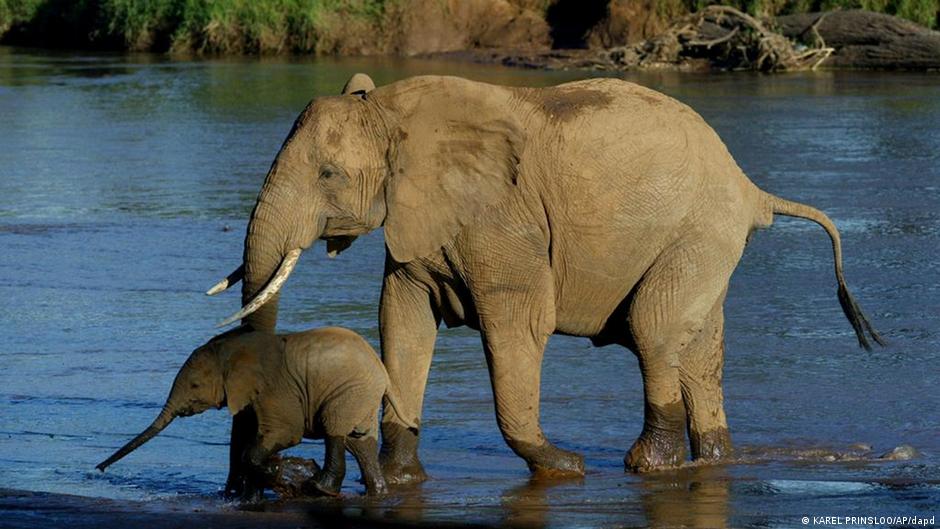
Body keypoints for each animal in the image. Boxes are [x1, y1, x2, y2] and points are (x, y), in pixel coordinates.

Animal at [96, 326, 414, 498]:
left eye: (195, 385)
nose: (99, 469)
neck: (232, 350)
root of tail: (383, 373)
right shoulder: (248, 394)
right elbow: (245, 437)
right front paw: (244, 495)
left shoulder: (275, 388)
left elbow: (285, 433)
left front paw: (275, 477)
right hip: (361, 395)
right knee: (360, 442)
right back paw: (377, 493)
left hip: (349, 390)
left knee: (335, 430)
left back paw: (319, 488)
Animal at [207, 73, 883, 481]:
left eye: (327, 175)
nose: (261, 478)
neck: (394, 110)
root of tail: (751, 189)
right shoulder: (417, 222)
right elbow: (402, 322)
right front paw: (402, 478)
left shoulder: (503, 219)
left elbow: (517, 324)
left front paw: (563, 467)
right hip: (702, 243)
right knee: (698, 349)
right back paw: (712, 459)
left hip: (700, 234)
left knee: (654, 329)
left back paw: (647, 466)